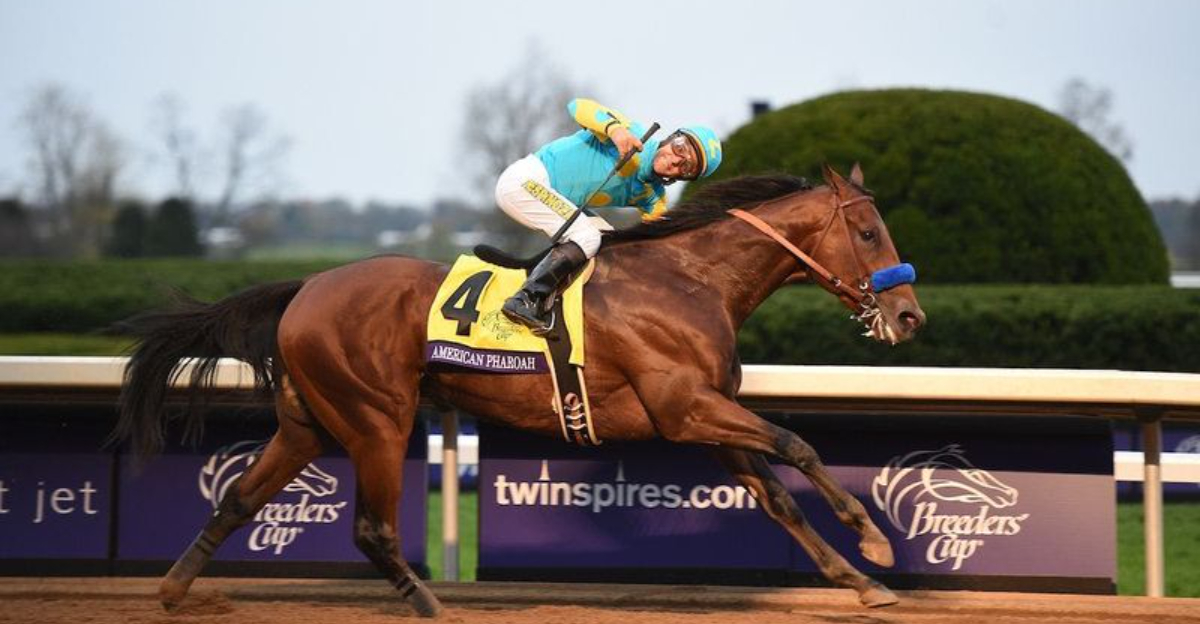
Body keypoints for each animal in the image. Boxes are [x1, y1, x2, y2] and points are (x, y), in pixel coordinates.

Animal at [112, 164, 925, 617]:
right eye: (869, 233)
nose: (910, 315)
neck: (691, 279)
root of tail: (307, 285)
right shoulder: (686, 407)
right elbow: (799, 443)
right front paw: (875, 538)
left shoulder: (706, 419)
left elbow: (780, 496)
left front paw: (860, 581)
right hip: (378, 418)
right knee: (372, 528)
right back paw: (431, 606)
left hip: (308, 421)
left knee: (240, 500)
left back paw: (174, 591)